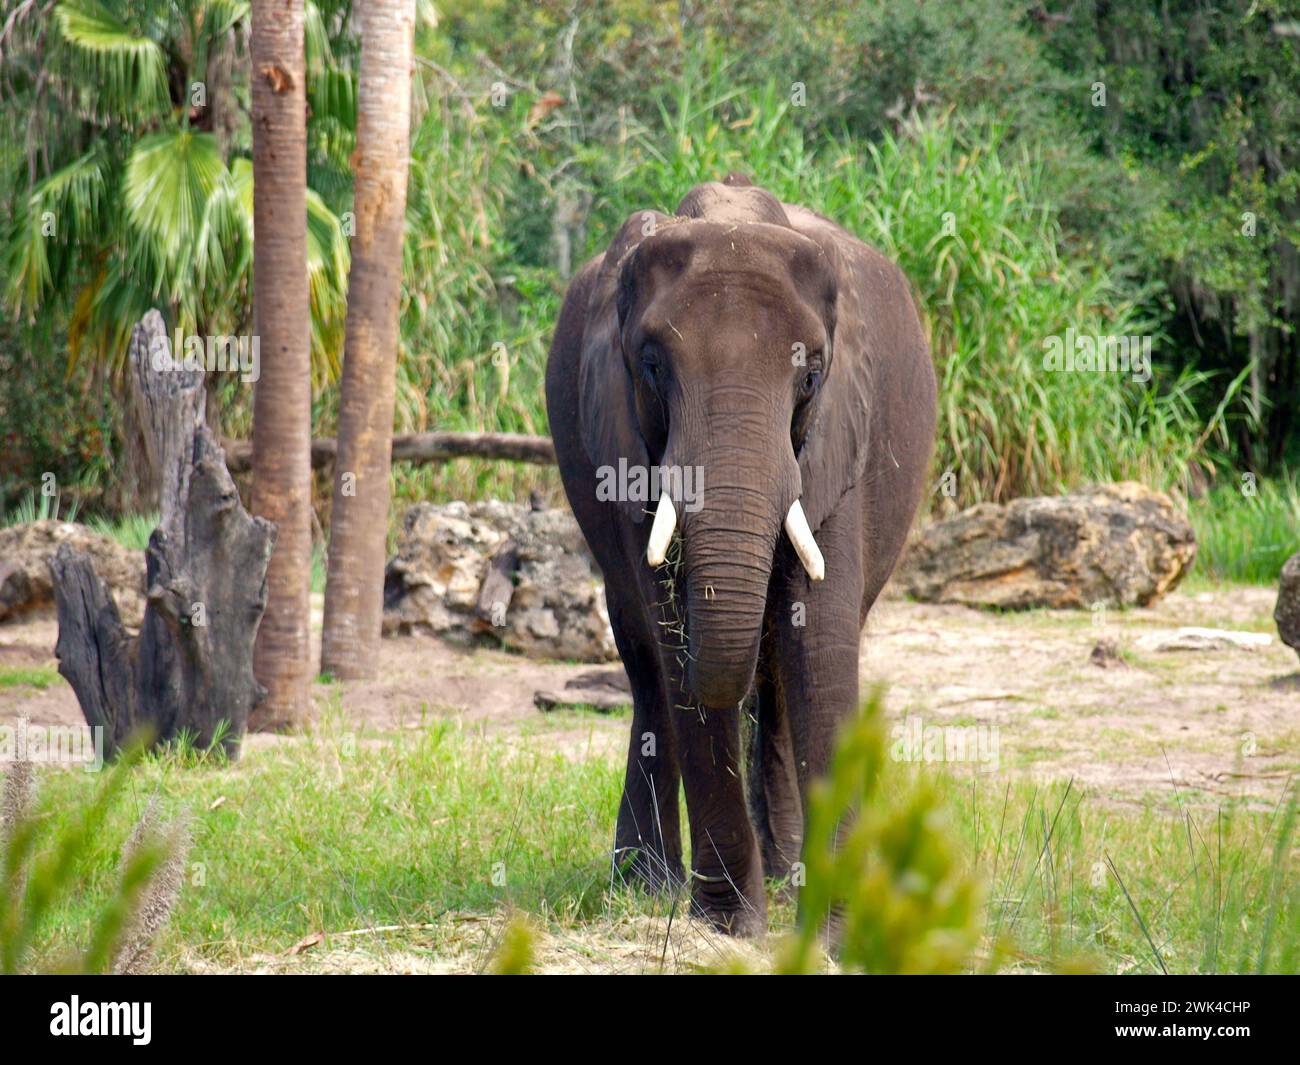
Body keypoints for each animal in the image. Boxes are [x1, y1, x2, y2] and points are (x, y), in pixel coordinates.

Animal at [544, 174, 937, 935]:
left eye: (811, 375)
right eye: (652, 365)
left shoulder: (839, 436)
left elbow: (818, 639)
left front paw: (836, 934)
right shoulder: (625, 440)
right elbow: (676, 645)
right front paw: (727, 928)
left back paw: (782, 874)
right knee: (646, 666)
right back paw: (648, 886)